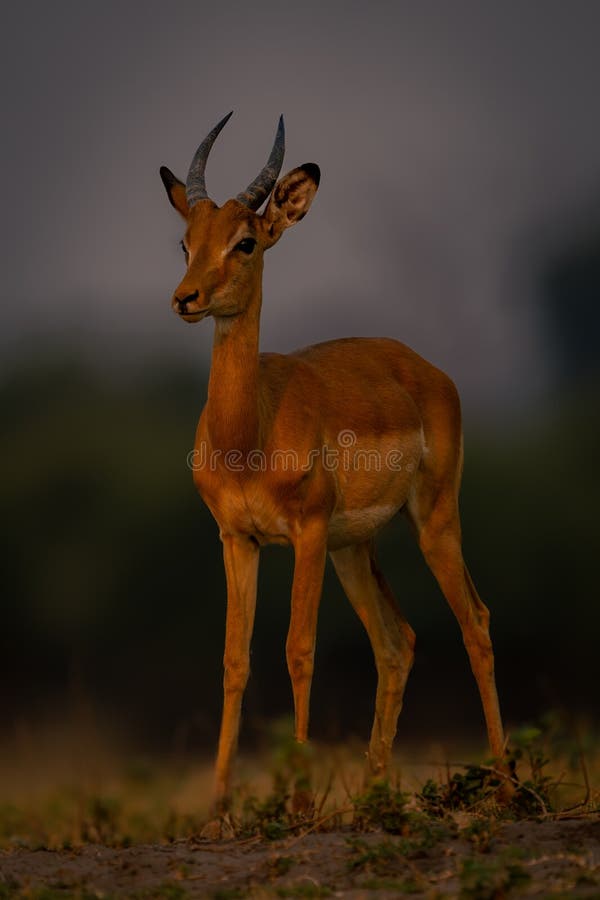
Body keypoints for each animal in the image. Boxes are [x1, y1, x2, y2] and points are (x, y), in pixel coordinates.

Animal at [159, 113, 508, 812]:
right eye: (186, 242)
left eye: (246, 242)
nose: (187, 298)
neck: (250, 434)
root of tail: (425, 368)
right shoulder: (237, 539)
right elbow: (235, 659)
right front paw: (216, 813)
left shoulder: (308, 534)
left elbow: (299, 649)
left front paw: (295, 804)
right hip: (356, 549)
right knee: (397, 643)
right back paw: (371, 800)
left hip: (431, 522)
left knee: (476, 622)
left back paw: (510, 788)